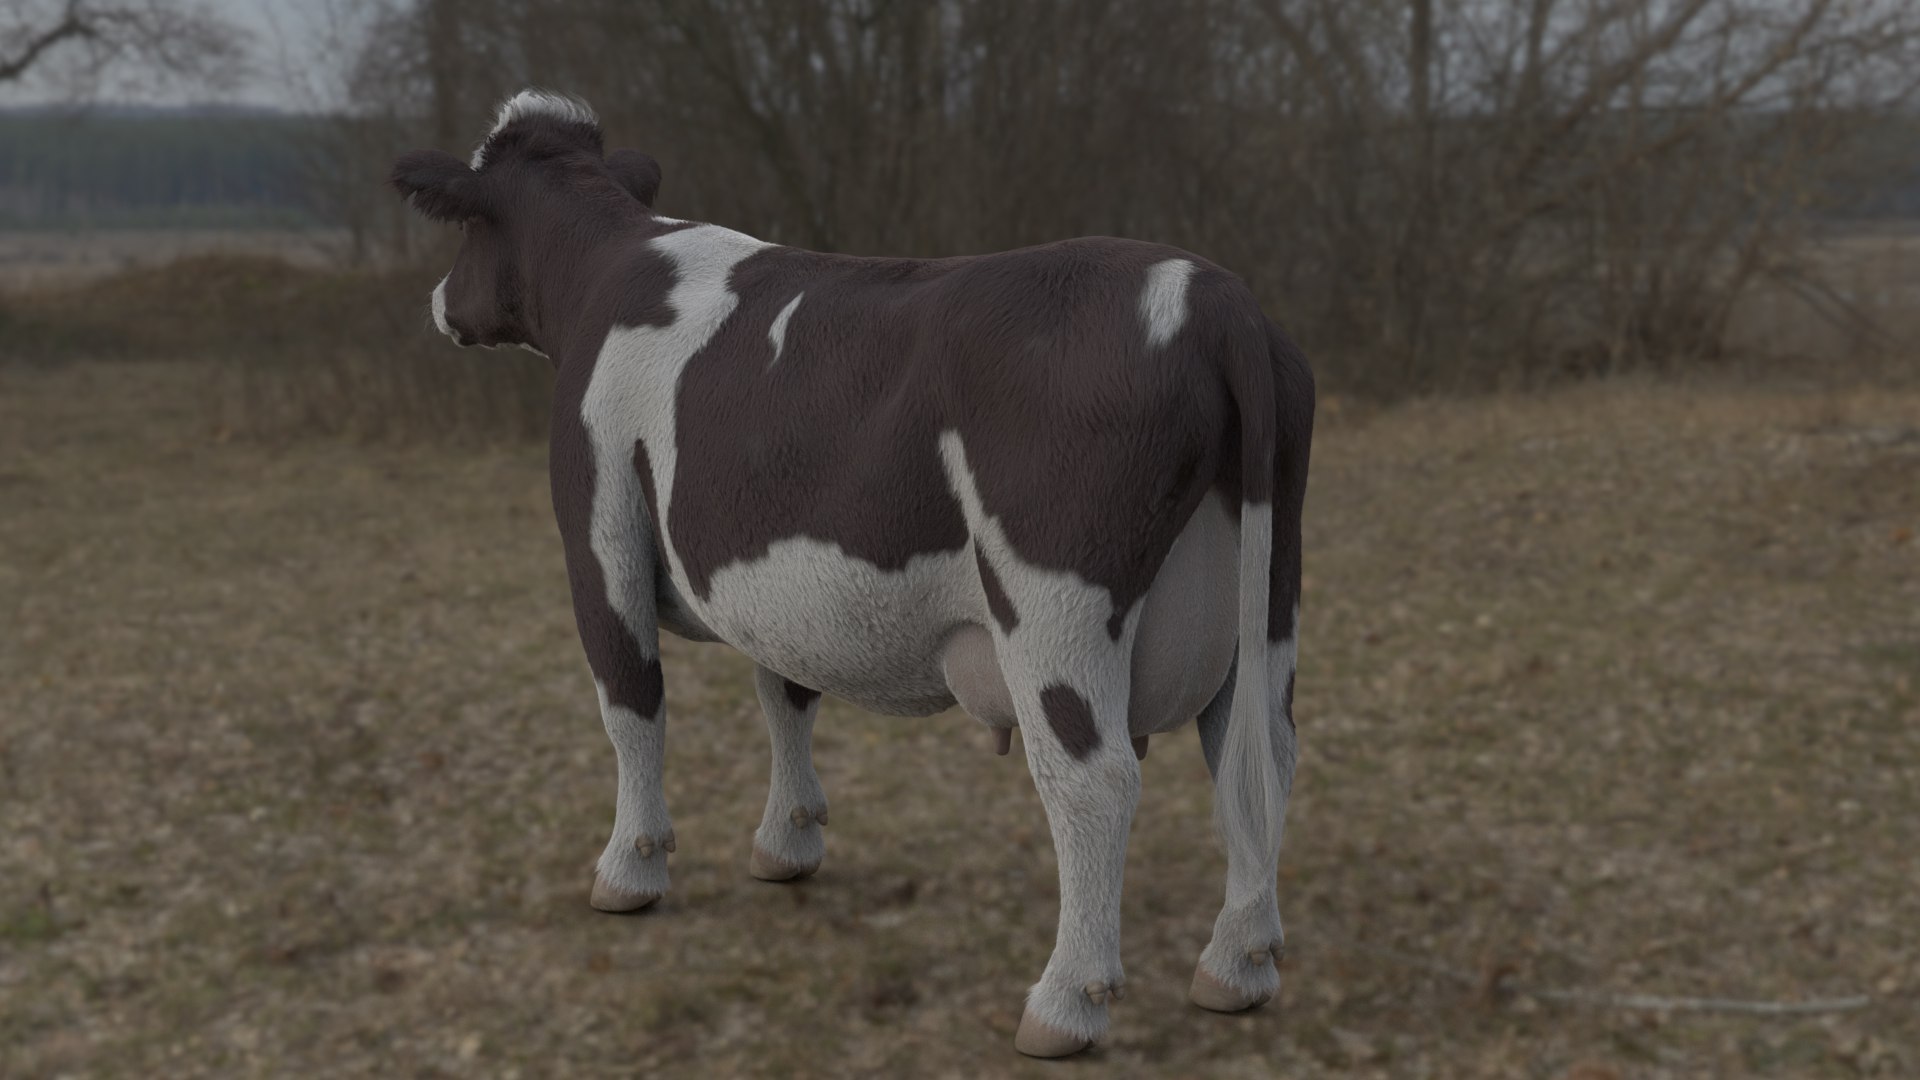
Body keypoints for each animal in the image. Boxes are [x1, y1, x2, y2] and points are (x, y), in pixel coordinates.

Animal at [390, 90, 1314, 1058]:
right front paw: (788, 841)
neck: (611, 272)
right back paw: (1239, 964)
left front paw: (630, 868)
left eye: (466, 223)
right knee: (1258, 754)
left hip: (1052, 606)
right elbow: (785, 694)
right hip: (1267, 601)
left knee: (1095, 783)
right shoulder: (778, 585)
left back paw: (1066, 1001)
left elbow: (631, 704)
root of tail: (1213, 297)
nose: (441, 304)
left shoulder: (597, 534)